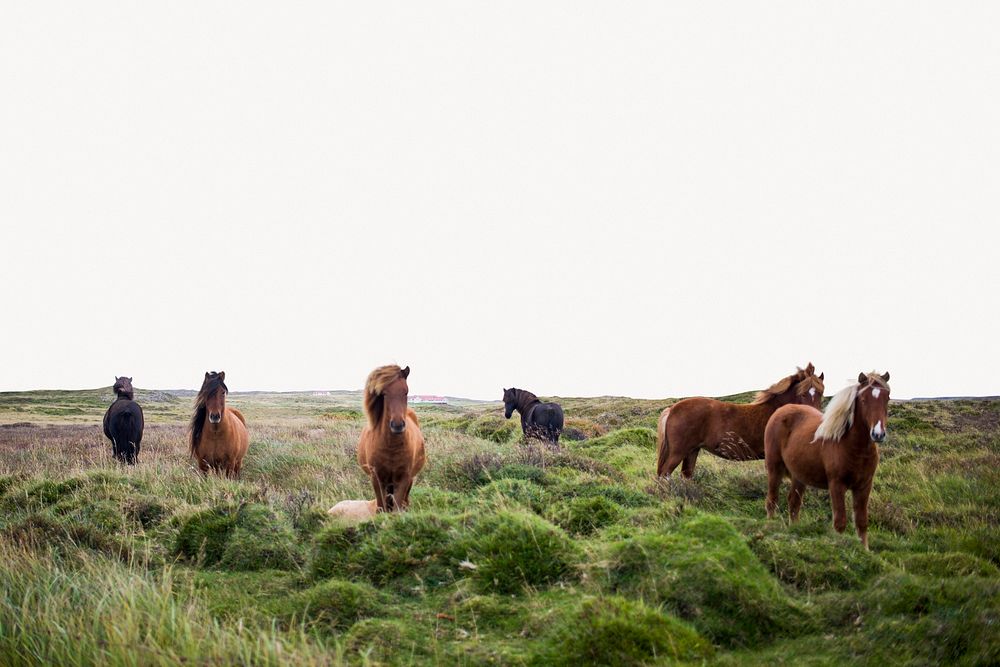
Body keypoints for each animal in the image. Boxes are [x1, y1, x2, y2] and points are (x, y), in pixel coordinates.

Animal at [357, 365, 426, 512]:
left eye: (406, 392)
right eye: (384, 393)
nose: (397, 425)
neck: (391, 447)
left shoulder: (403, 479)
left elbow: (397, 509)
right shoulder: (377, 479)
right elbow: (381, 507)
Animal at [656, 364, 824, 478]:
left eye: (821, 393)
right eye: (802, 393)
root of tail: (672, 409)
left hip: (692, 450)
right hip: (678, 452)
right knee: (665, 474)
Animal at [764, 372, 890, 549]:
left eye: (887, 398)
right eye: (864, 399)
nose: (878, 434)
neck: (854, 447)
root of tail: (781, 410)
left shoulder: (864, 486)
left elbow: (862, 522)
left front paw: (864, 550)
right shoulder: (837, 485)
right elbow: (840, 522)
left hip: (799, 476)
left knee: (794, 503)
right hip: (774, 469)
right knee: (772, 500)